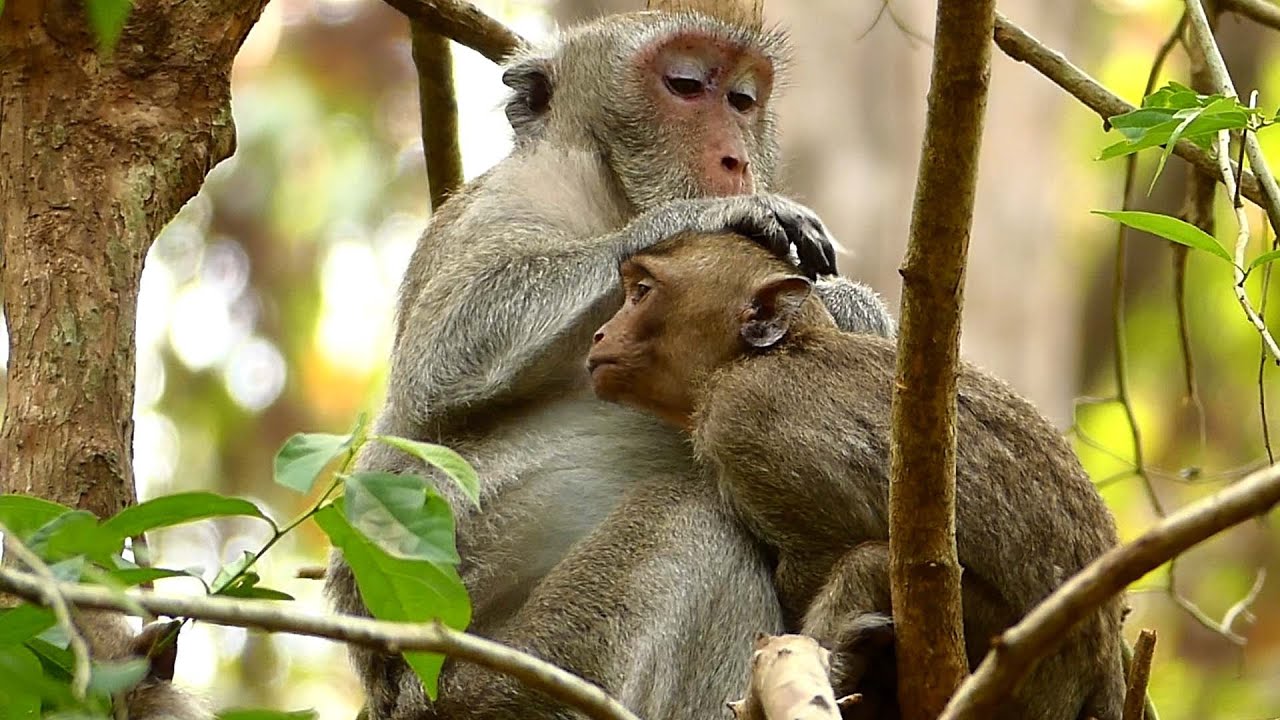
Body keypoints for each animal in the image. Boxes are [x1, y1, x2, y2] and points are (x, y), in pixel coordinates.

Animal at [322, 10, 898, 720]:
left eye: (742, 99)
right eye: (685, 84)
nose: (735, 161)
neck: (612, 195)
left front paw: (850, 306)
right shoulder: (504, 200)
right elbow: (448, 349)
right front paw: (702, 216)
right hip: (500, 685)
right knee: (690, 521)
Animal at [586, 231, 1128, 720]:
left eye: (641, 292)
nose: (599, 333)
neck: (773, 351)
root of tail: (1104, 669)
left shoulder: (743, 413)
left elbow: (820, 549)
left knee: (868, 562)